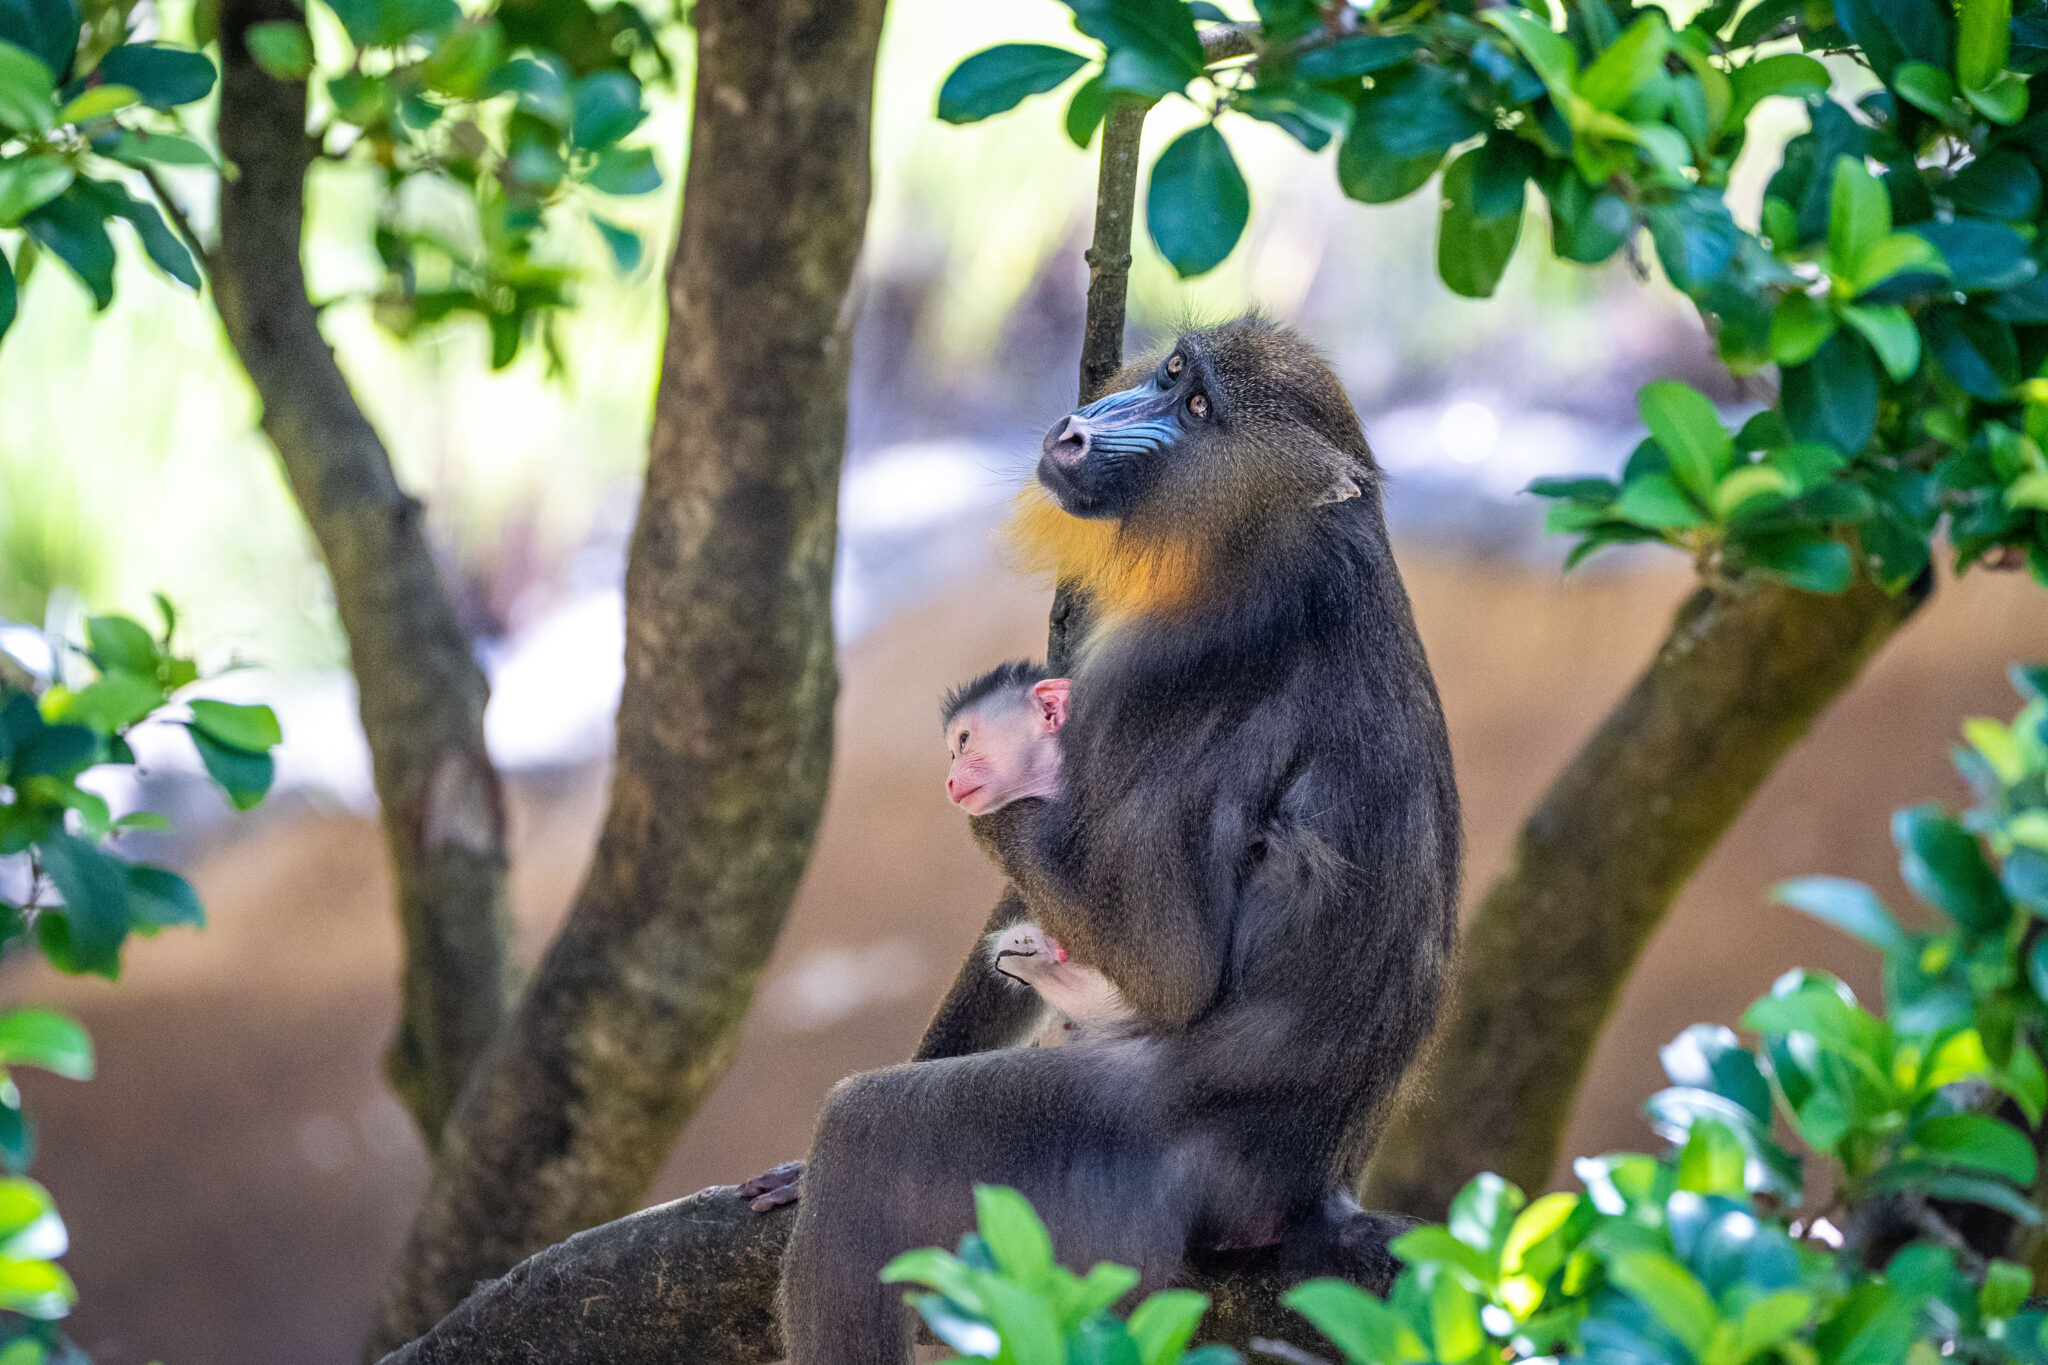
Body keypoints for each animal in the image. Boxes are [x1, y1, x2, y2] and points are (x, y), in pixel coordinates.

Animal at [763, 318, 1461, 1364]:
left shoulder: (1150, 681)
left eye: (1198, 409)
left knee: (869, 1144)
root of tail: (1316, 1194)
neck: (1271, 543)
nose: (1079, 428)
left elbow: (1170, 963)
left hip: (1089, 1171)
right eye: (1172, 371)